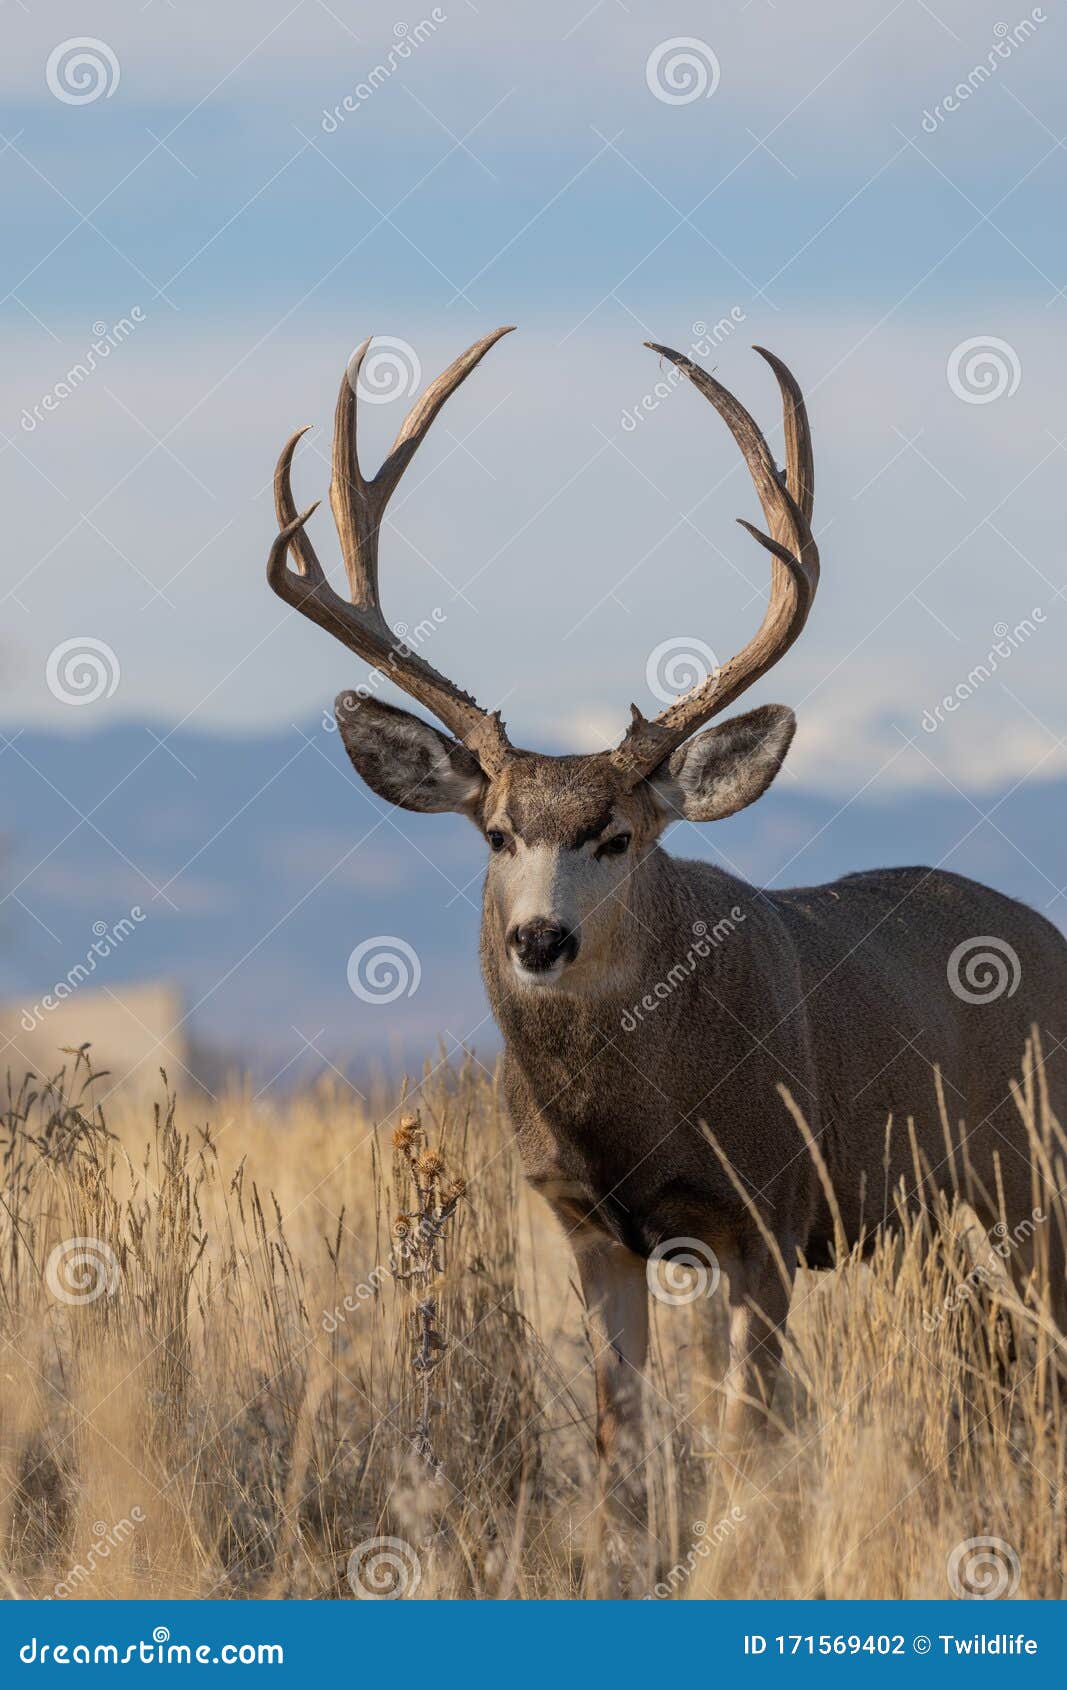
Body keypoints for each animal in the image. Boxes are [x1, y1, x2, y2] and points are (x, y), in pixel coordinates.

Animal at [267, 328, 1067, 1578]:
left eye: (619, 835)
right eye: (496, 832)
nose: (539, 935)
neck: (631, 1115)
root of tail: (1045, 930)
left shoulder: (768, 1207)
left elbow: (749, 1435)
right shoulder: (589, 1228)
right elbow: (621, 1447)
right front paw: (623, 1566)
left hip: (1033, 1177)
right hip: (944, 1219)